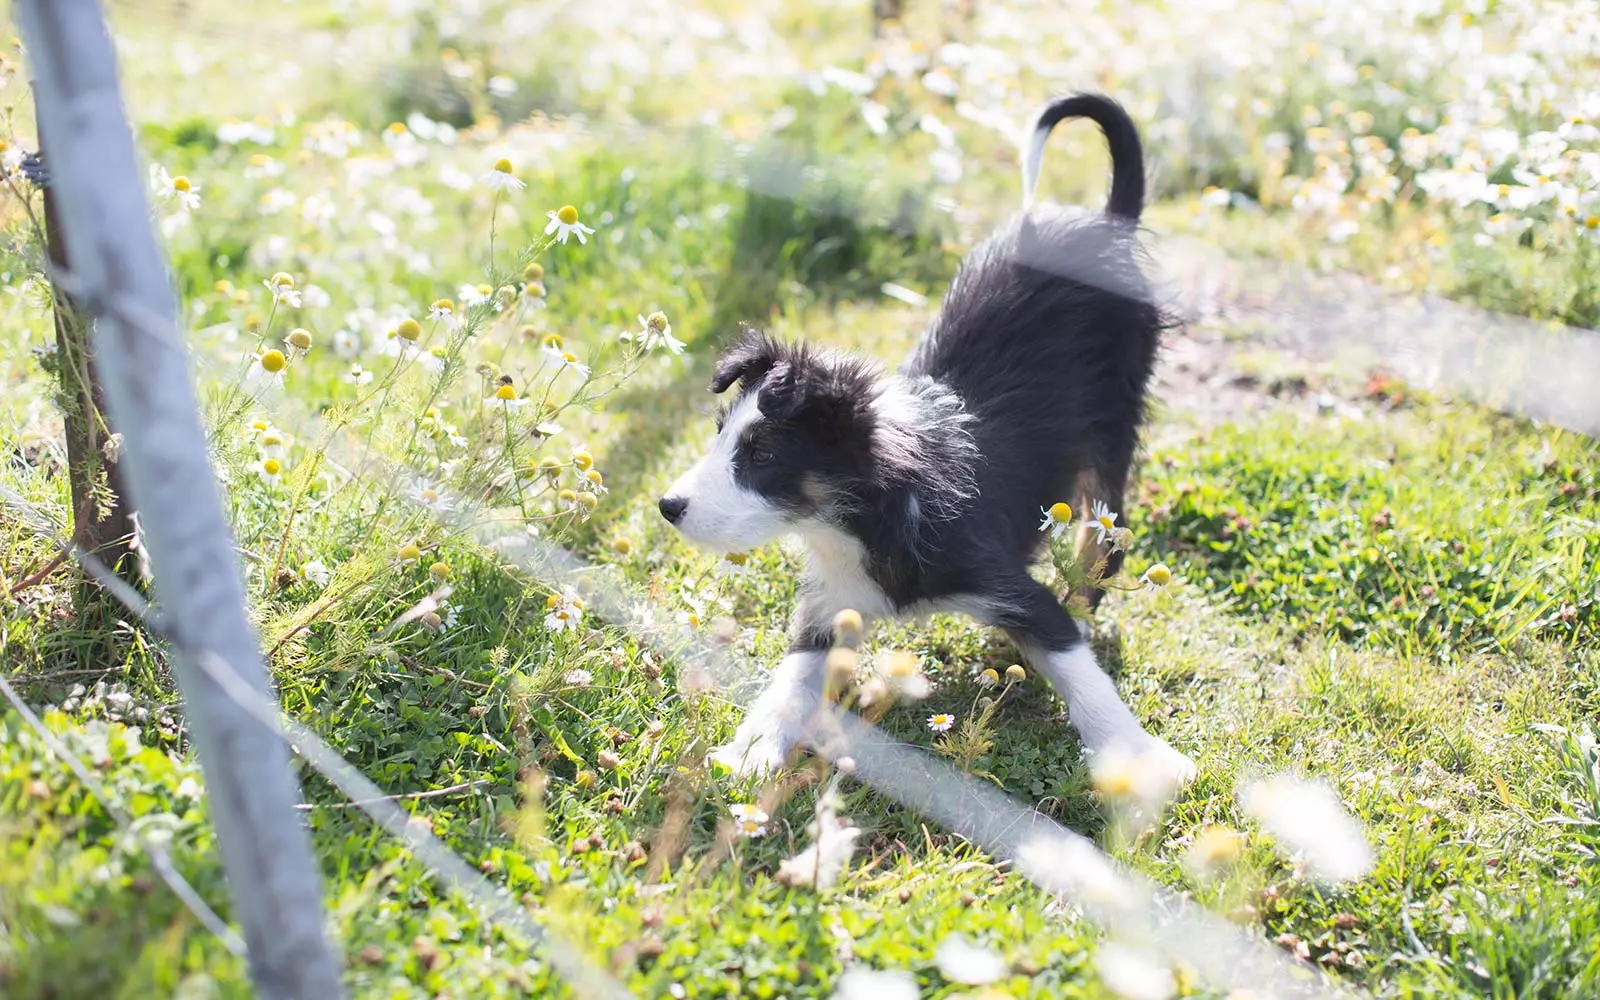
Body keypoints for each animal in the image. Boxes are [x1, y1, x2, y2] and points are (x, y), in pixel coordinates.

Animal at [656, 93, 1196, 784]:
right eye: (722, 436)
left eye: (763, 454)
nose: (667, 507)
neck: (862, 520)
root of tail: (1106, 222)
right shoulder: (830, 605)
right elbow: (791, 680)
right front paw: (749, 753)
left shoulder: (1010, 586)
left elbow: (1081, 671)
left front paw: (1142, 758)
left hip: (1113, 427)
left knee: (1103, 540)